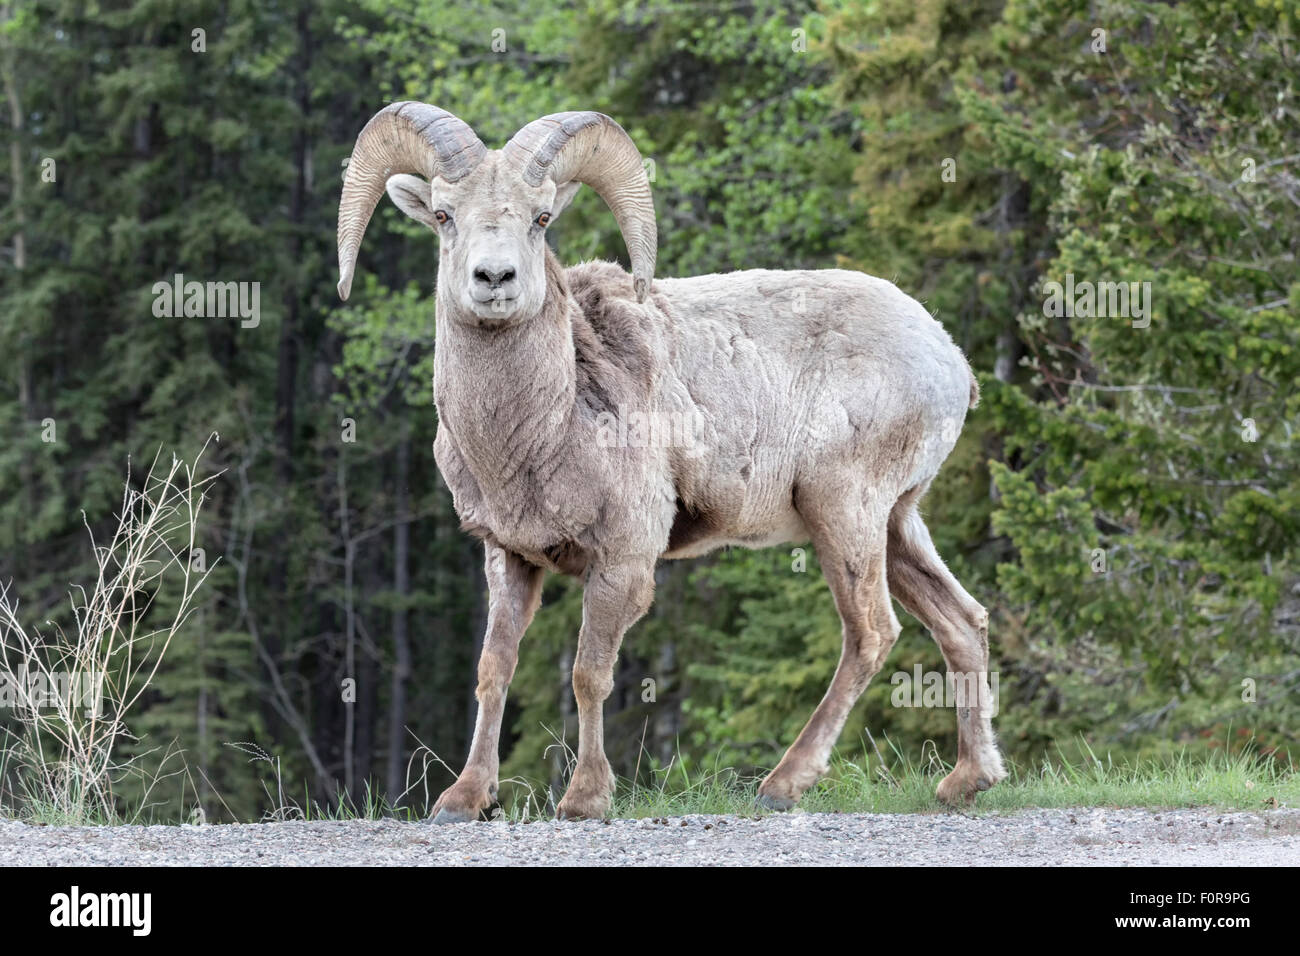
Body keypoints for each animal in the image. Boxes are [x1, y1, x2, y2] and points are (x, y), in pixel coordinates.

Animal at [336, 102, 1007, 822]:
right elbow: (495, 671)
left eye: (540, 218)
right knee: (963, 622)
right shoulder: (510, 557)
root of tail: (949, 359)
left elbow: (589, 674)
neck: (540, 428)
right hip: (897, 523)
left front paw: (585, 798)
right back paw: (967, 781)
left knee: (871, 634)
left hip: (842, 513)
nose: (494, 280)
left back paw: (783, 783)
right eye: (443, 215)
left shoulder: (624, 559)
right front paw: (463, 799)